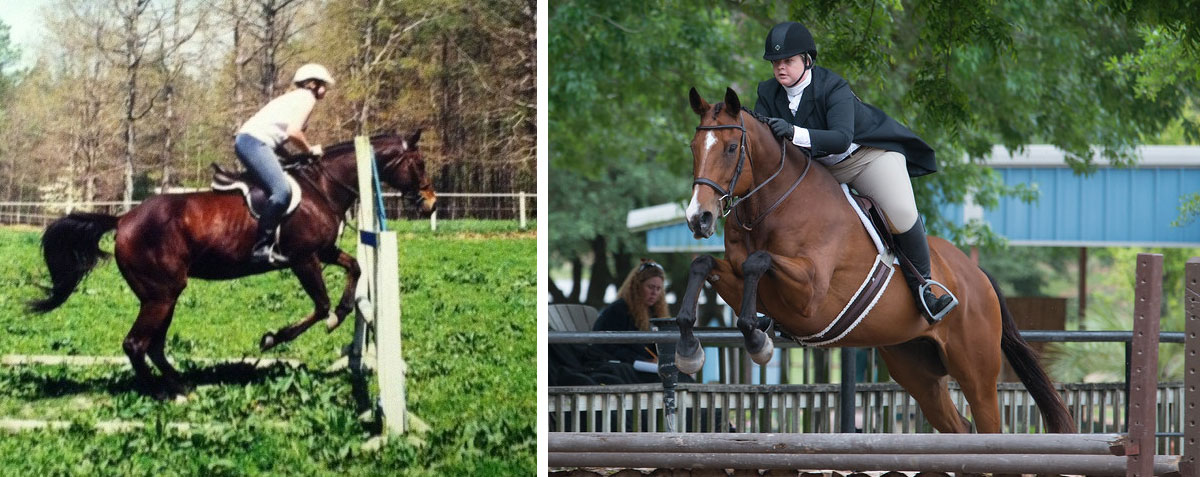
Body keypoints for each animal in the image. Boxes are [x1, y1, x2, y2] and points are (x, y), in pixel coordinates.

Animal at [28, 130, 436, 399]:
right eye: (419, 163)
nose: (430, 202)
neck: (322, 186)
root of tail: (123, 219)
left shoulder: (323, 251)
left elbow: (354, 268)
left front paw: (343, 310)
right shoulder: (304, 259)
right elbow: (319, 306)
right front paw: (274, 337)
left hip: (165, 295)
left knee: (153, 345)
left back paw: (180, 385)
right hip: (160, 295)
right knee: (135, 344)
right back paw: (162, 393)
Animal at [676, 87, 1074, 434]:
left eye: (731, 148)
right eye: (693, 148)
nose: (699, 219)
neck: (770, 205)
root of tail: (977, 275)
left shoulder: (810, 295)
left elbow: (757, 262)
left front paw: (758, 341)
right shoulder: (744, 278)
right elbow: (703, 264)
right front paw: (690, 350)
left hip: (976, 369)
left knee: (988, 424)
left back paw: (934, 299)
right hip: (914, 366)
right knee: (958, 426)